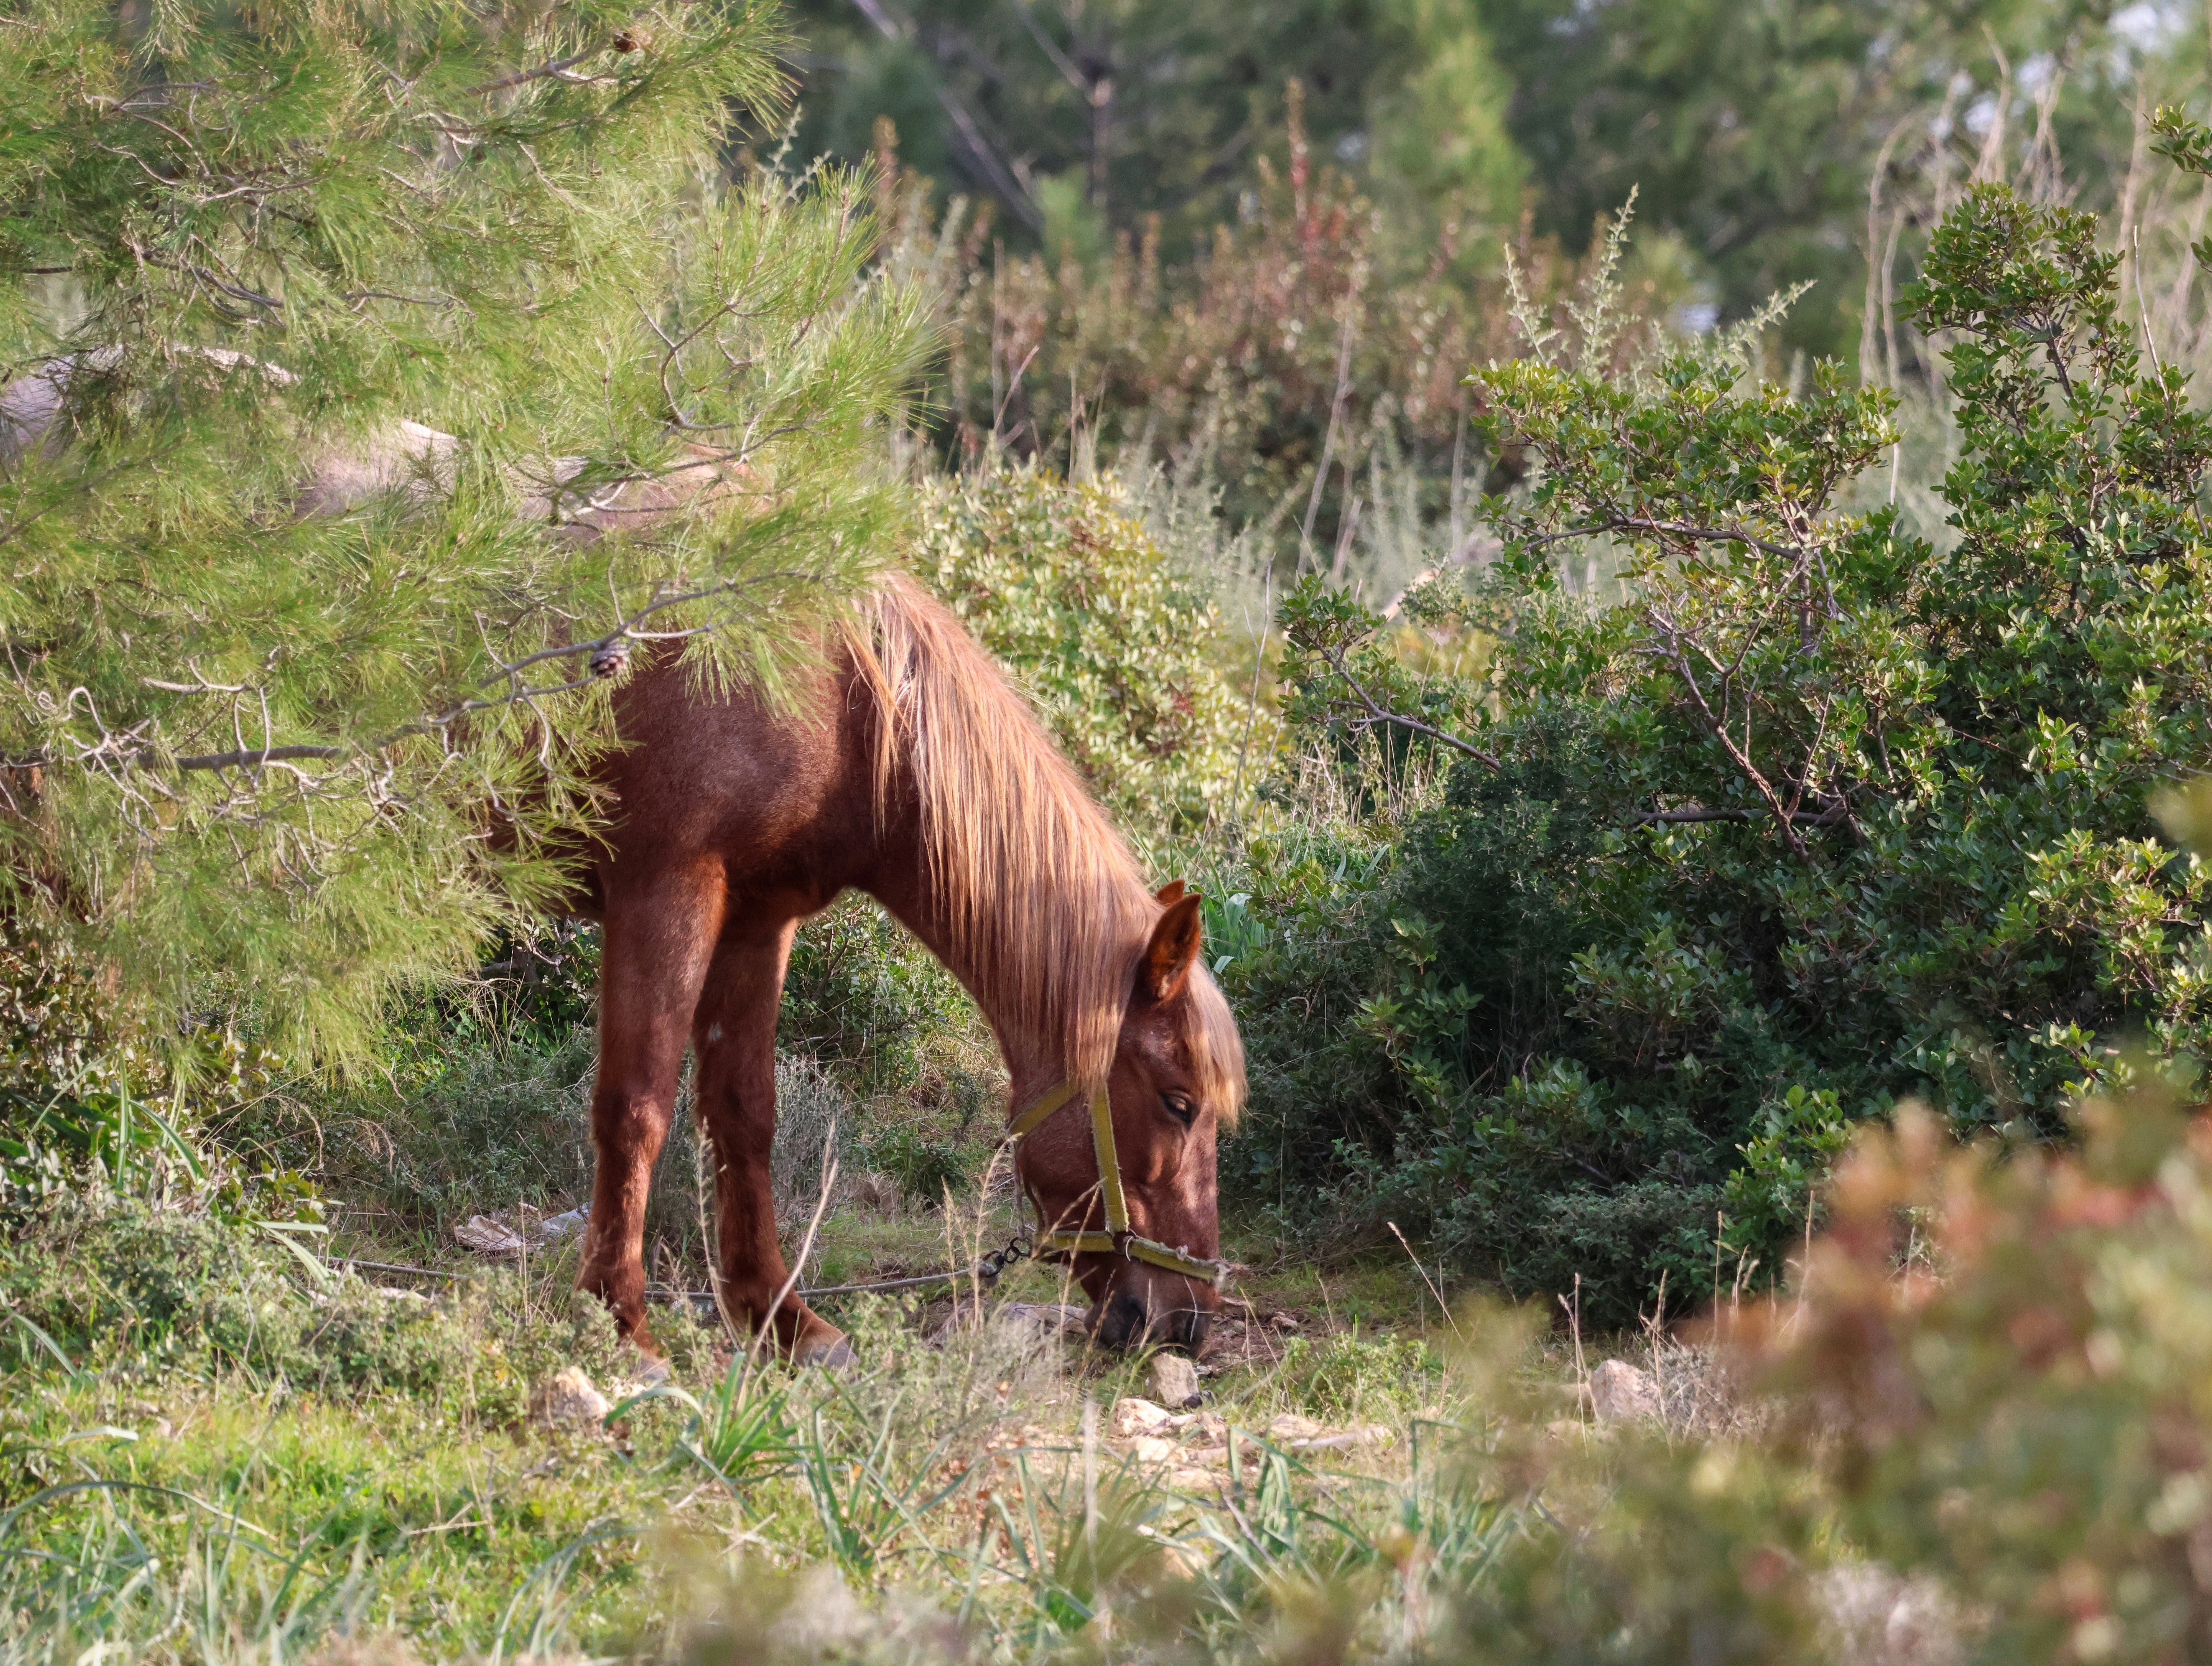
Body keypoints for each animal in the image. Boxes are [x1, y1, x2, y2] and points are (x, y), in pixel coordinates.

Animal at [0, 357, 1246, 1362]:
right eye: (1178, 1101)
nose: (1186, 1321)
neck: (842, 683)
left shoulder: (758, 921)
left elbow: (744, 1119)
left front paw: (782, 1322)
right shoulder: (666, 892)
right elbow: (637, 1106)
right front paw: (625, 1324)